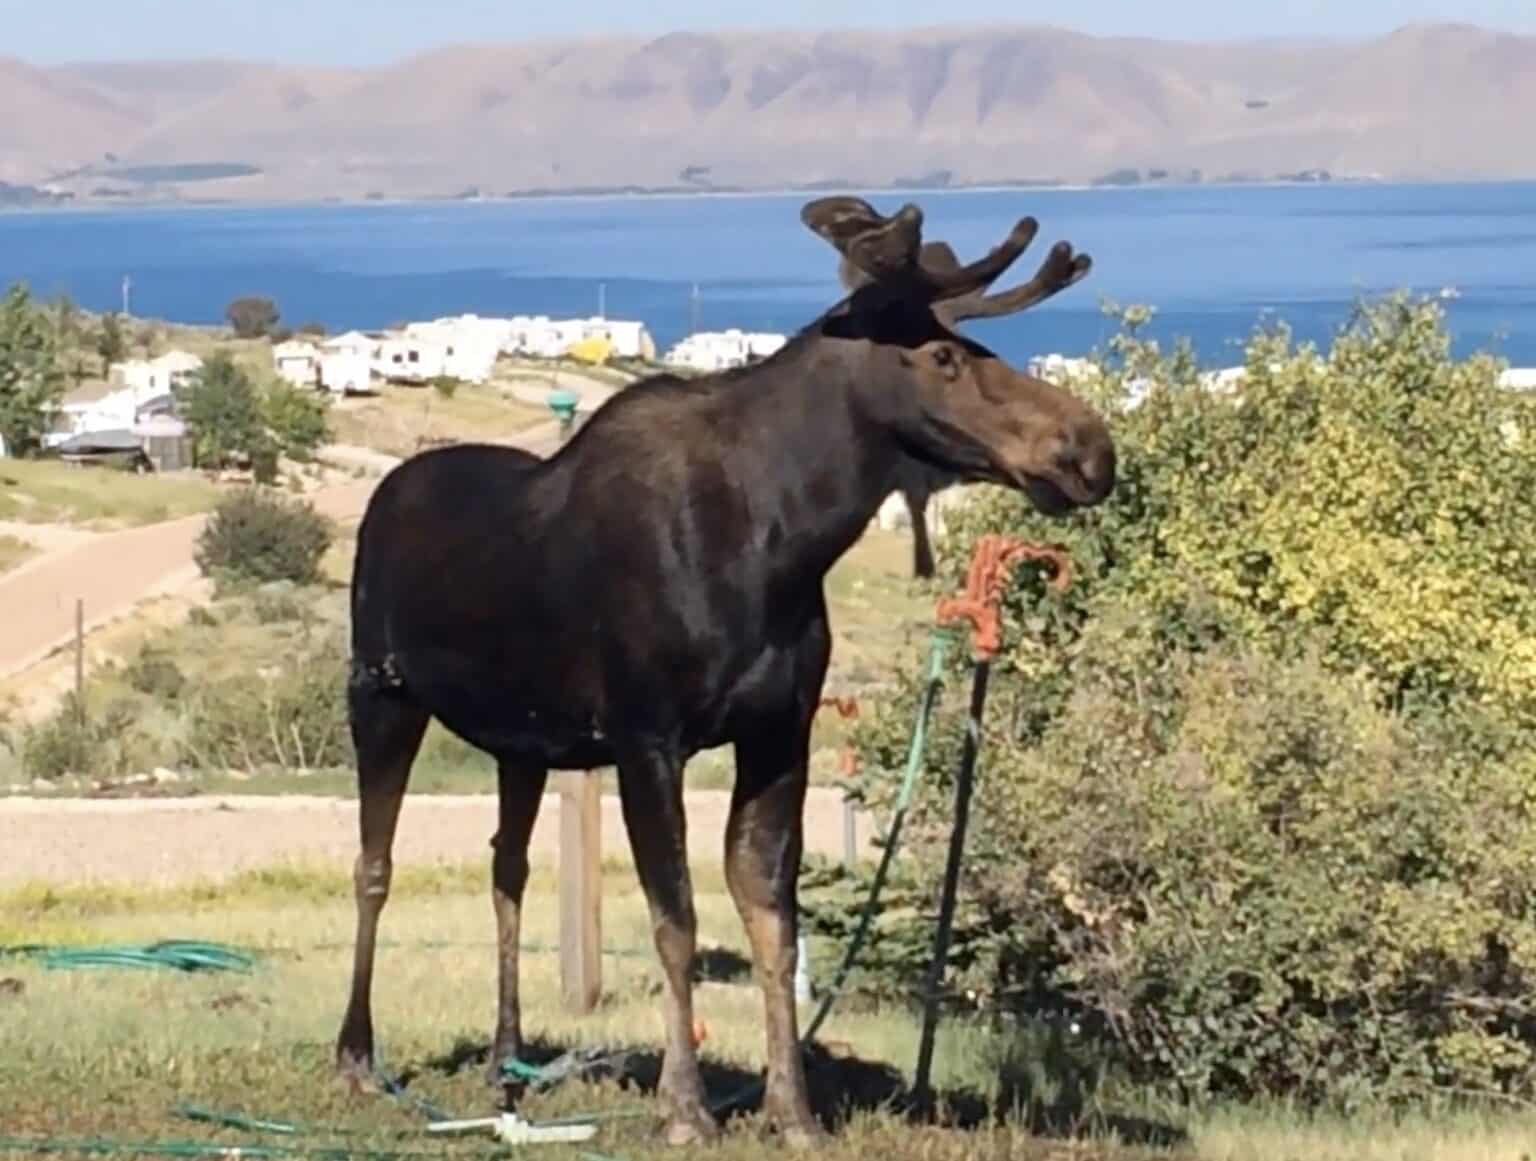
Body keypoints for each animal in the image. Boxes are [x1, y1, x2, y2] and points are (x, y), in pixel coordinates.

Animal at [333, 194, 1114, 1148]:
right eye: (942, 356)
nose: (1090, 447)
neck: (785, 538)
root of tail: (384, 499)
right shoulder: (646, 733)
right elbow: (677, 920)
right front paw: (686, 1104)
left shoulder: (779, 730)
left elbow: (772, 919)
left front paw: (792, 1108)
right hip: (380, 690)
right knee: (374, 863)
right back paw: (358, 1053)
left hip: (522, 742)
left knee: (505, 869)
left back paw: (506, 1059)